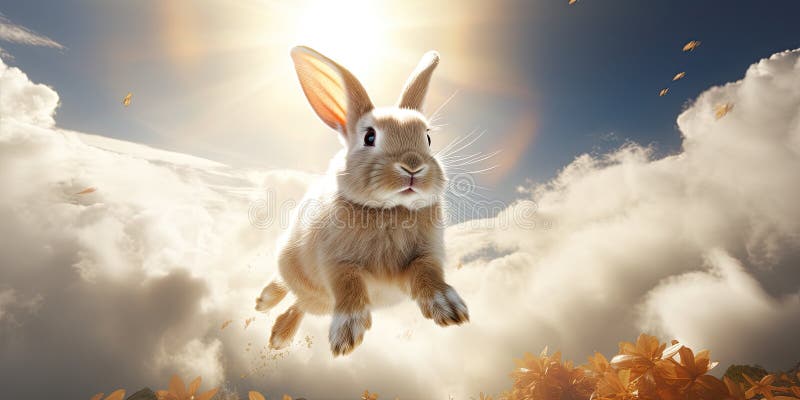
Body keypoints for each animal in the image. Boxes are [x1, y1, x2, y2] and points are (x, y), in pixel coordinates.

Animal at [255, 45, 469, 356]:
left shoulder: (426, 255)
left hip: (314, 298)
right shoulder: (334, 260)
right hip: (291, 258)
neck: (390, 210)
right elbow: (348, 283)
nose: (413, 166)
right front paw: (346, 335)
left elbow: (429, 274)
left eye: (427, 138)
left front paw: (450, 308)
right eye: (369, 137)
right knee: (289, 286)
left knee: (300, 304)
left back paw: (278, 335)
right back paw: (265, 302)